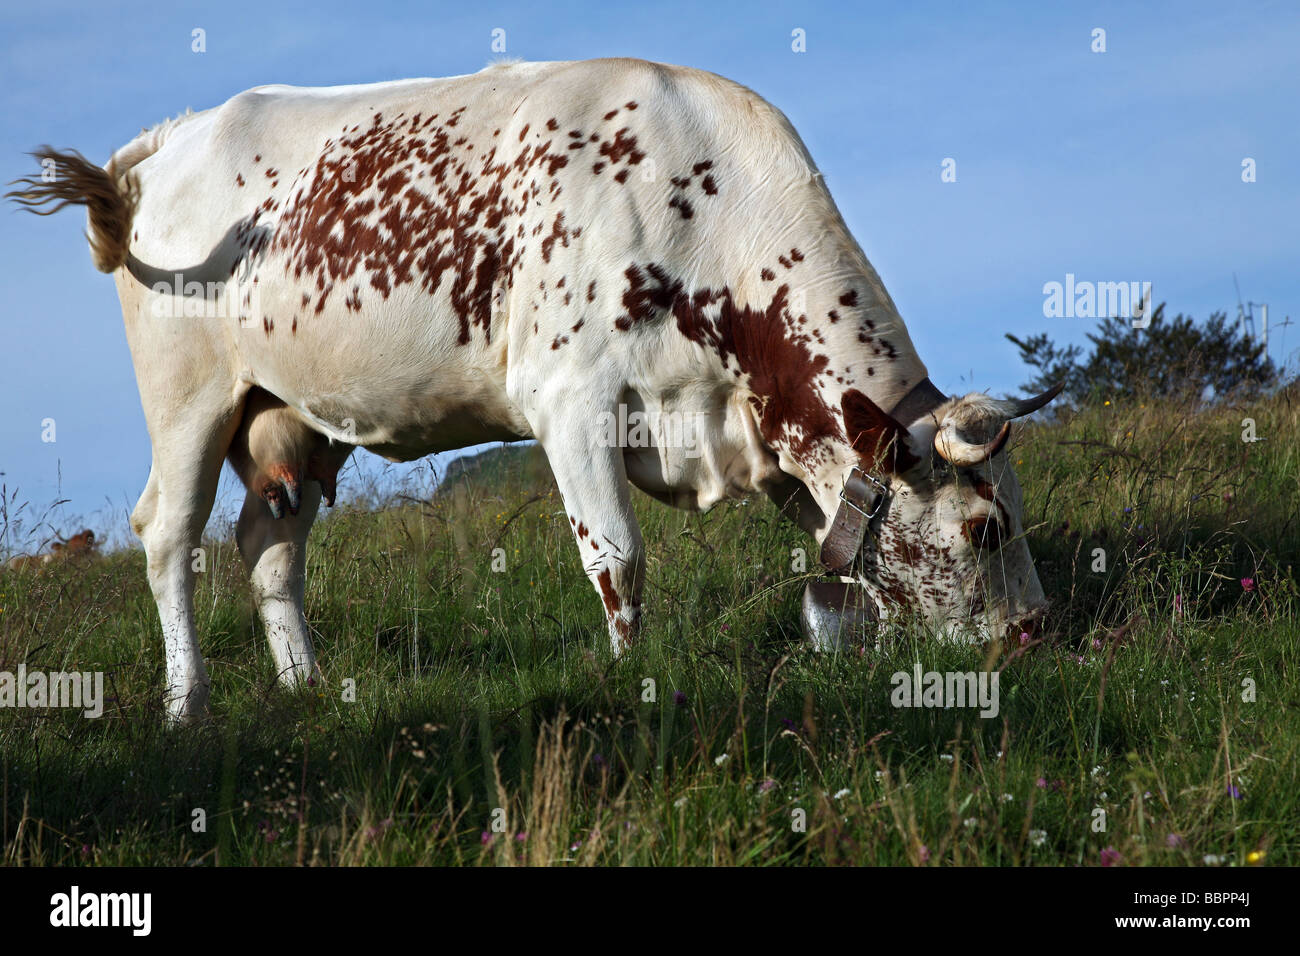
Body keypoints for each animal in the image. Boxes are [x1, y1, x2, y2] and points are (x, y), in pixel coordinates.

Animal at [9, 58, 1059, 723]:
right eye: (985, 529)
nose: (1036, 635)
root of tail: (169, 142)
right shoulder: (573, 404)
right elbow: (620, 558)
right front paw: (640, 680)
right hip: (189, 397)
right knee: (167, 536)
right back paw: (187, 707)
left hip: (291, 419)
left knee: (268, 545)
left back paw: (305, 687)